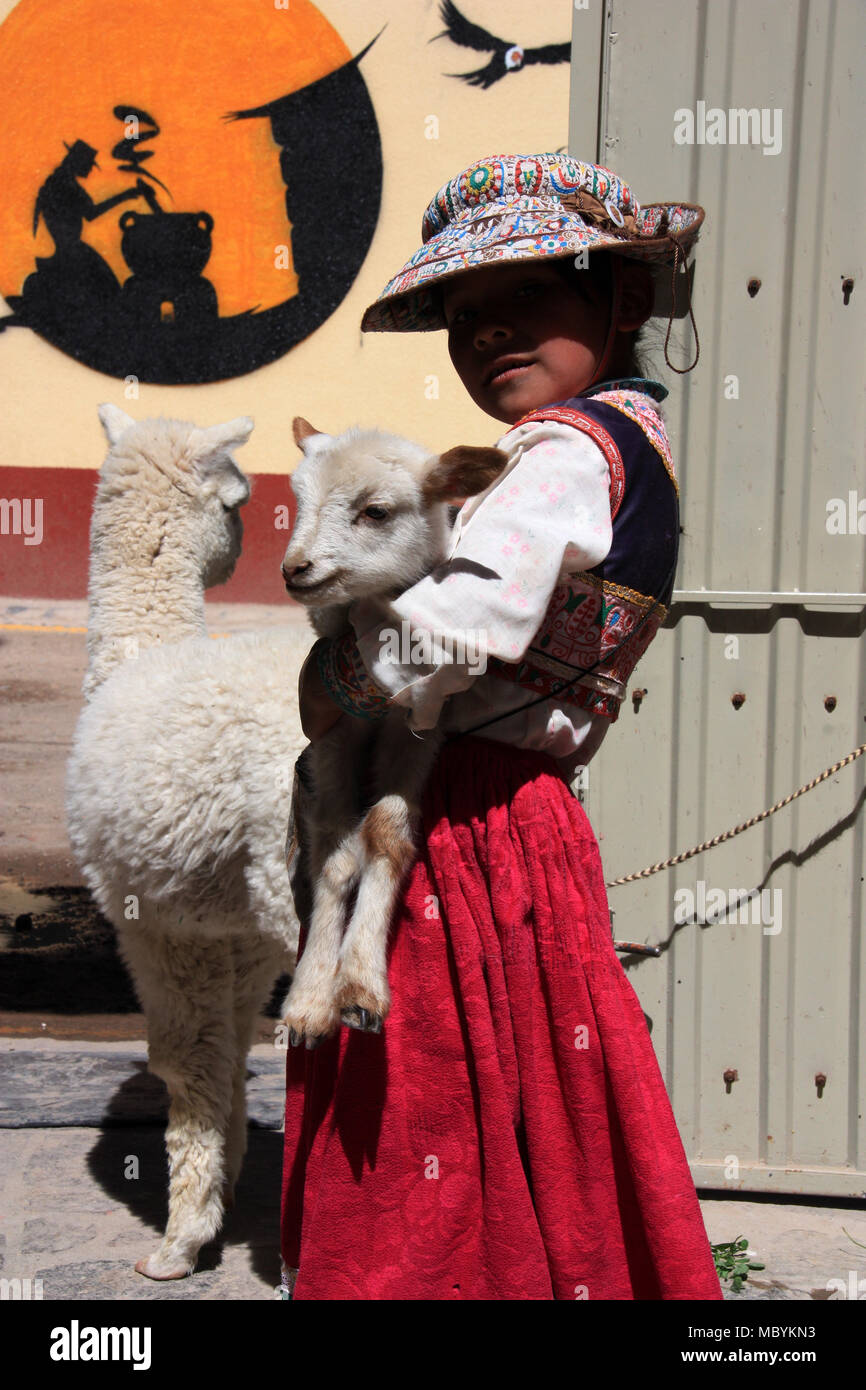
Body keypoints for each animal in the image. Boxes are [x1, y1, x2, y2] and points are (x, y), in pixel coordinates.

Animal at [66, 405, 311, 1280]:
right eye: (243, 501)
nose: (244, 559)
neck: (140, 650)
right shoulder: (236, 934)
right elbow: (231, 1050)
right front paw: (229, 1180)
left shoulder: (155, 921)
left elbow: (187, 1062)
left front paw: (181, 1236)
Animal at [279, 416, 507, 1047]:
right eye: (298, 499)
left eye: (376, 511)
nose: (294, 568)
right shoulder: (335, 730)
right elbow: (334, 845)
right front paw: (311, 998)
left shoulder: (420, 722)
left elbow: (385, 832)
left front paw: (358, 987)